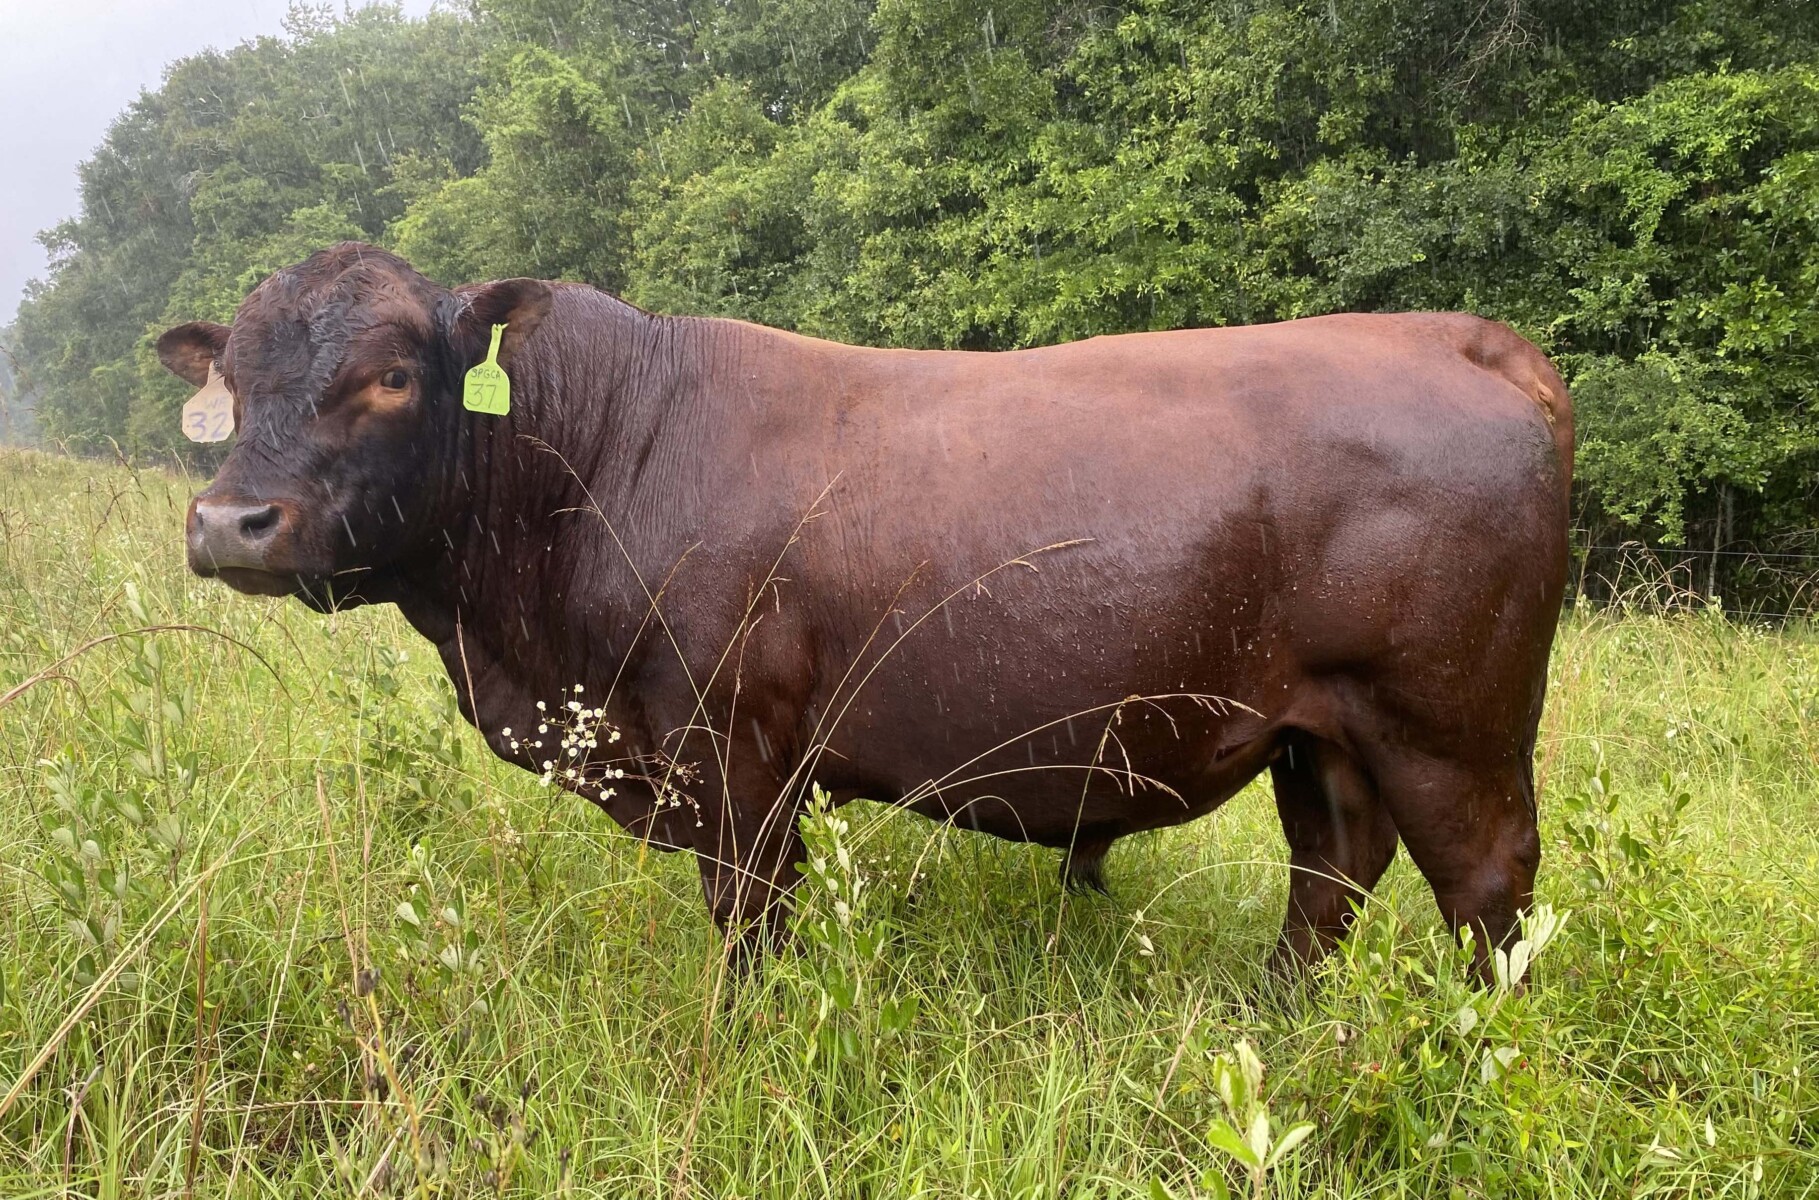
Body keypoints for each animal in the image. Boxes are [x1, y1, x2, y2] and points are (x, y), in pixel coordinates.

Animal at [158, 242, 1572, 981]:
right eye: (236, 375)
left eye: (394, 376)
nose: (230, 523)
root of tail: (1447, 333)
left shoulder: (732, 749)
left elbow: (749, 922)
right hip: (1317, 732)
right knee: (1330, 874)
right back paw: (1268, 1020)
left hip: (1448, 729)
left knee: (1486, 892)